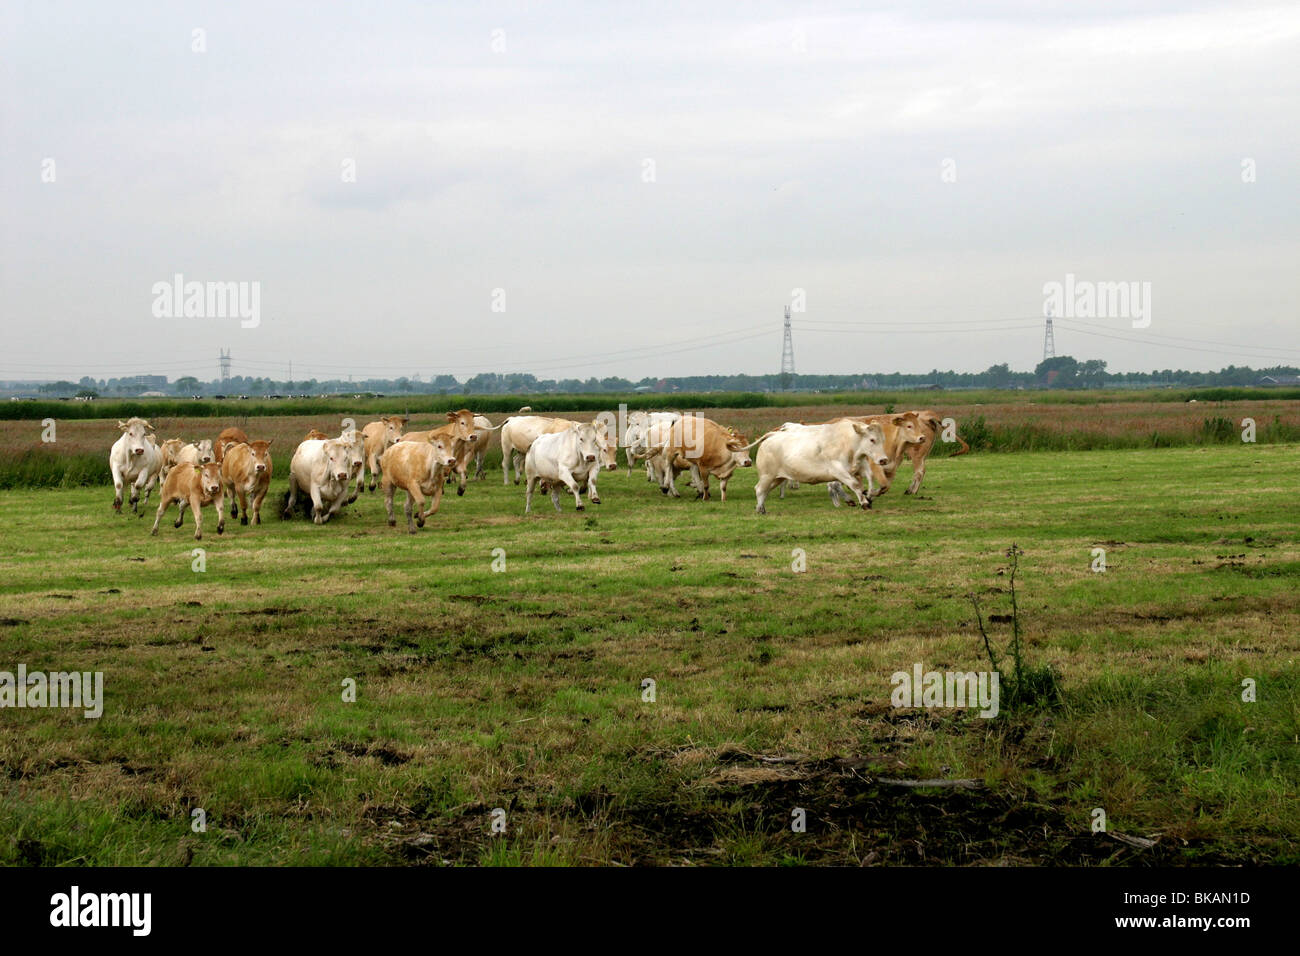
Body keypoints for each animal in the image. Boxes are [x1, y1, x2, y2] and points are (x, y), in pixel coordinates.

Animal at [753, 420, 890, 514]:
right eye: (872, 439)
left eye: (883, 439)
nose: (884, 460)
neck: (847, 443)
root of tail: (771, 436)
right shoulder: (838, 470)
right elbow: (855, 484)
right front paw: (864, 502)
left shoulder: (859, 467)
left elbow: (870, 479)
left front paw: (869, 496)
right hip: (767, 476)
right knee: (759, 489)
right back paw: (760, 509)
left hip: (777, 478)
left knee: (765, 491)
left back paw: (761, 508)